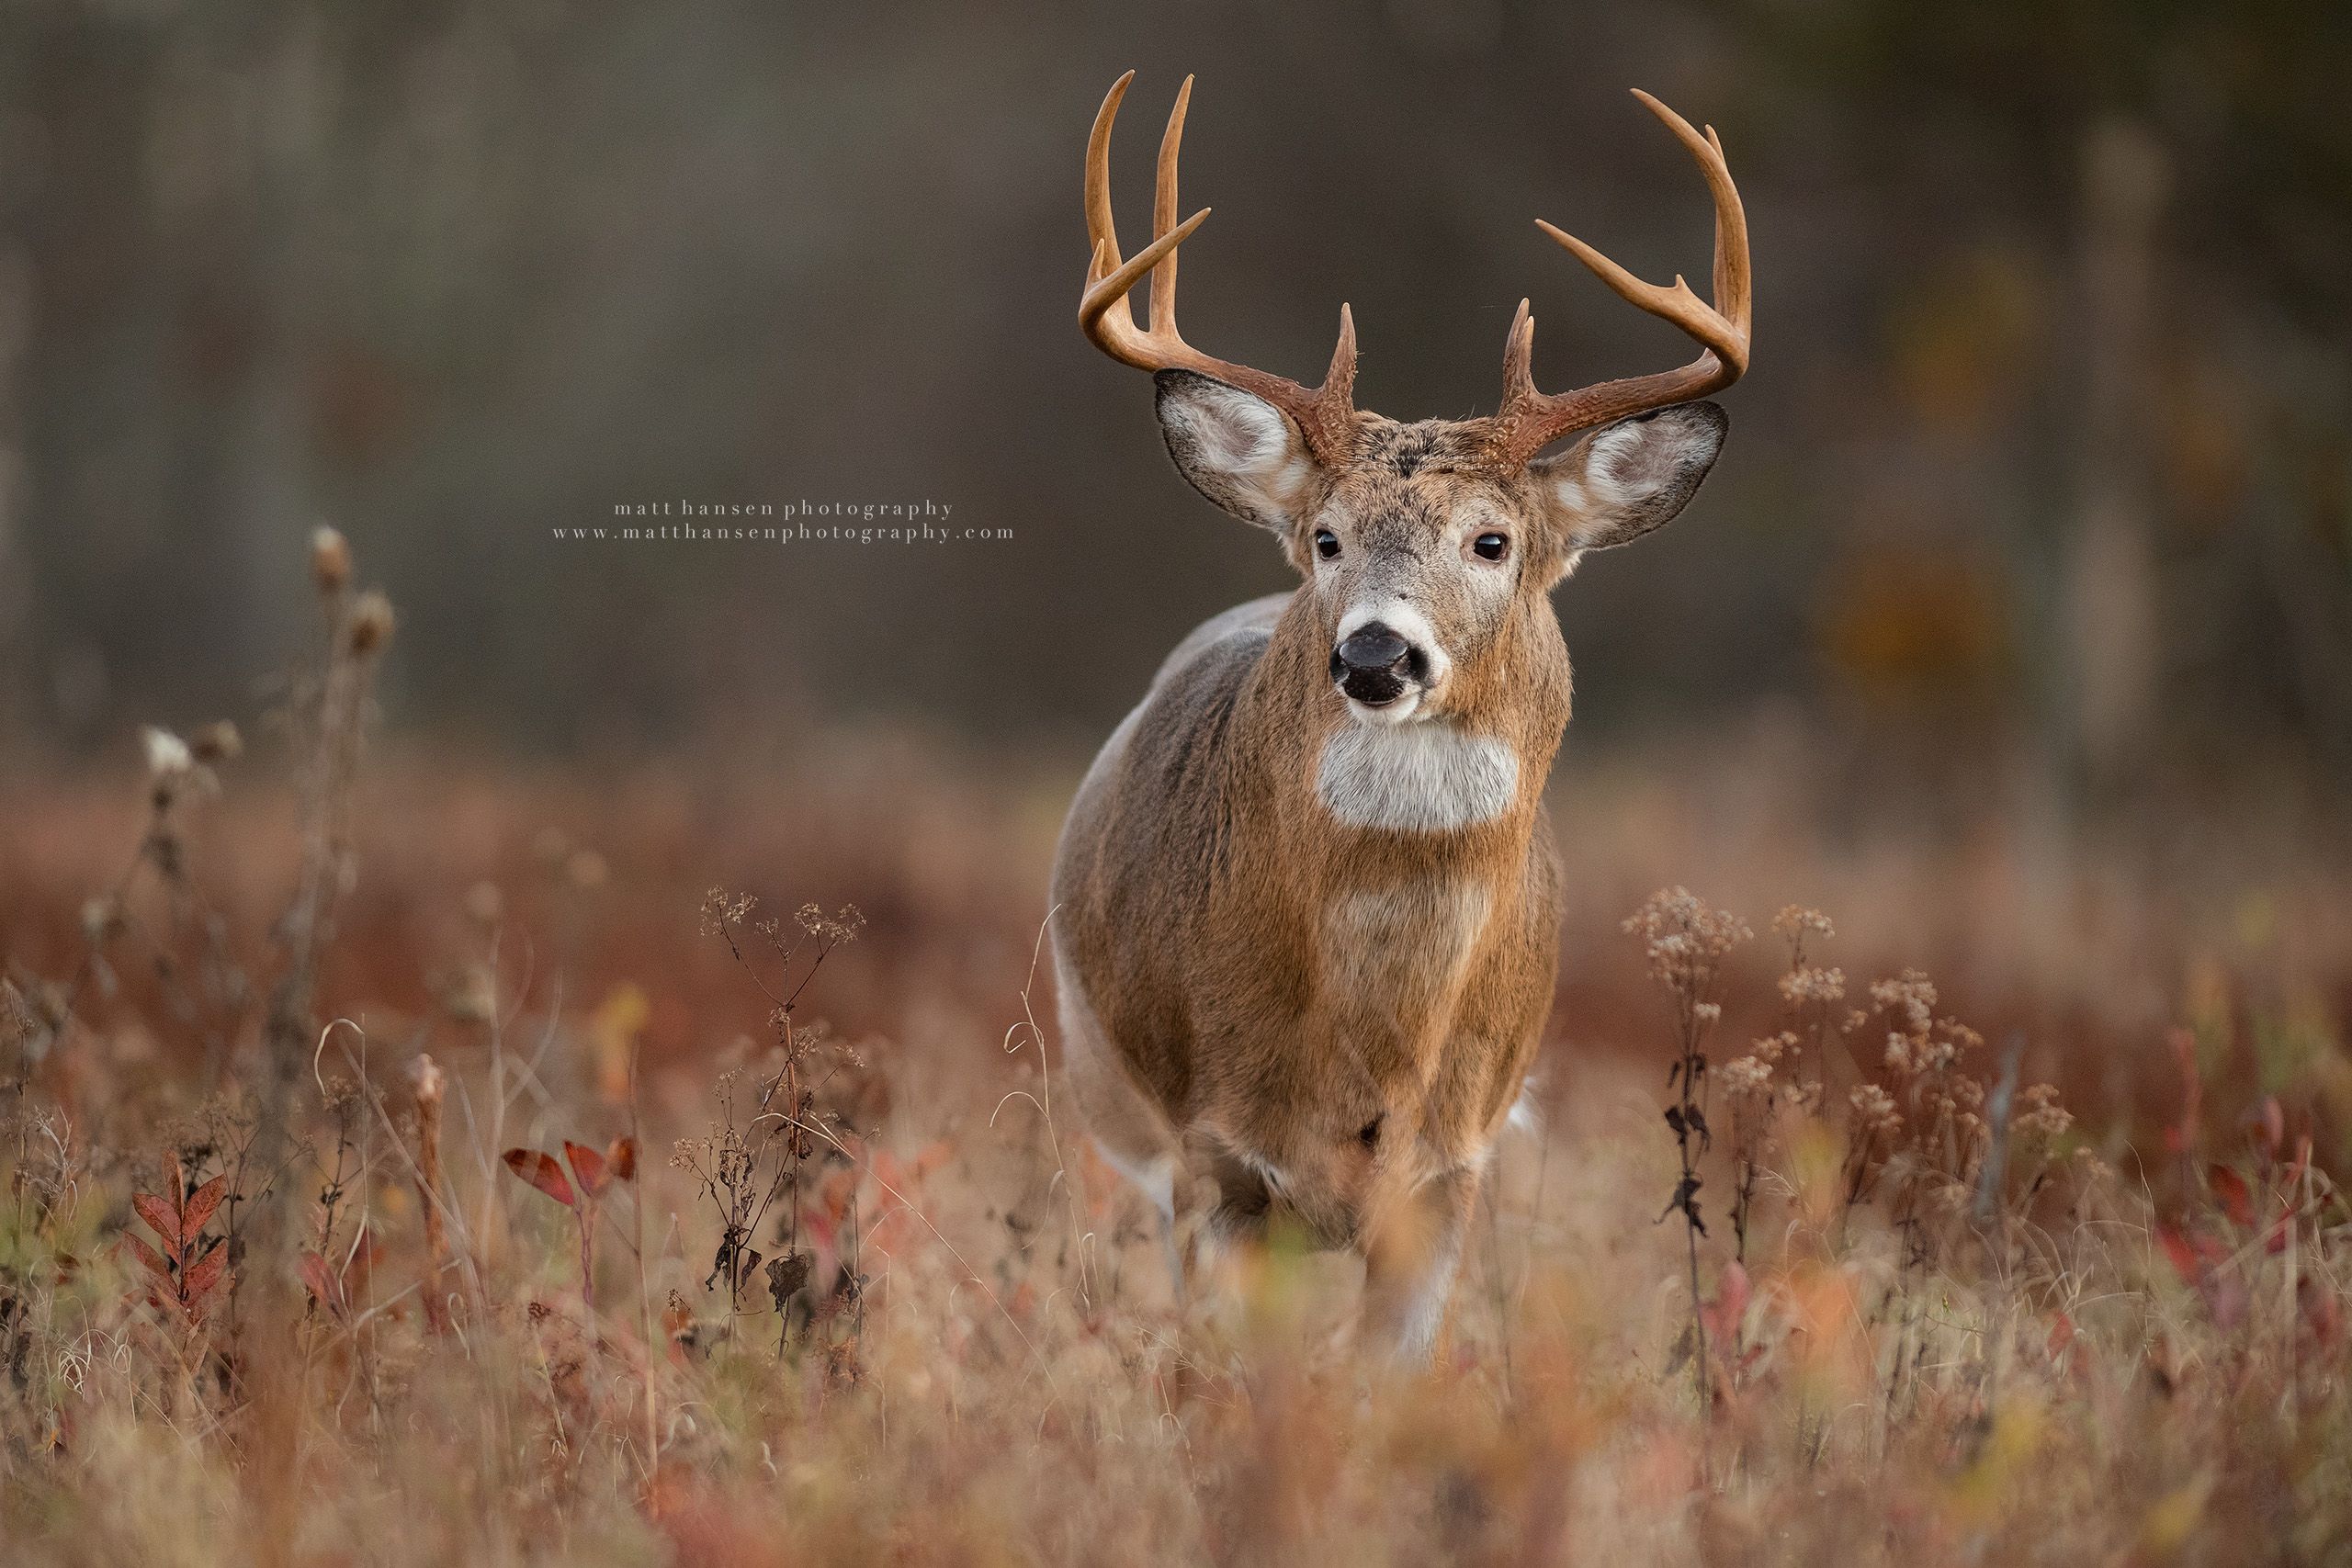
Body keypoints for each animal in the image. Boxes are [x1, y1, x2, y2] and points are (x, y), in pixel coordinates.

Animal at [1050, 71, 1751, 1361]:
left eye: (1494, 540)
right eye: (1325, 538)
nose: (1376, 653)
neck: (1372, 1050)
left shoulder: (1451, 1171)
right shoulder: (1213, 1159)